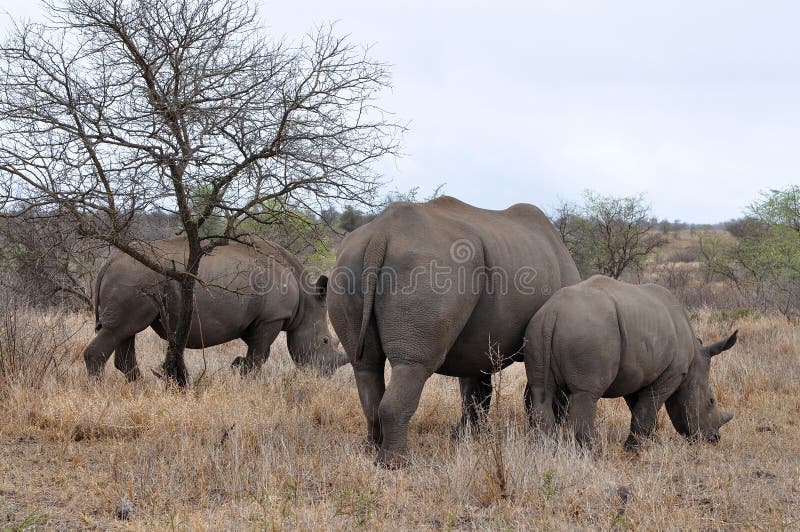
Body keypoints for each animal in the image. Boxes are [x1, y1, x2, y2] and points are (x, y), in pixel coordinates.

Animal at [83, 237, 347, 381]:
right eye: (325, 341)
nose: (325, 375)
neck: (305, 300)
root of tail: (109, 262)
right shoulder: (271, 318)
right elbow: (259, 356)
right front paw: (248, 381)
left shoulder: (258, 320)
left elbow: (257, 354)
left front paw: (238, 366)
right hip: (135, 278)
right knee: (118, 331)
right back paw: (99, 391)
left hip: (134, 278)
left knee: (126, 332)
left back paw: (141, 388)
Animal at [327, 196, 580, 466]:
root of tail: (380, 235)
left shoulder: (478, 340)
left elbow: (474, 390)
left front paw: (466, 436)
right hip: (430, 268)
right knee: (413, 366)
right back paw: (396, 464)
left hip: (348, 265)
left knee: (366, 366)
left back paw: (371, 450)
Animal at [525, 275, 737, 449]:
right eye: (711, 401)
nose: (714, 439)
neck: (694, 362)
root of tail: (553, 312)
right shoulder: (672, 373)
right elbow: (649, 406)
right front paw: (634, 449)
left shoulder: (637, 374)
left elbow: (639, 409)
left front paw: (645, 444)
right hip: (588, 332)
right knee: (586, 394)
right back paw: (593, 451)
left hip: (537, 328)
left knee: (541, 390)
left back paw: (547, 448)